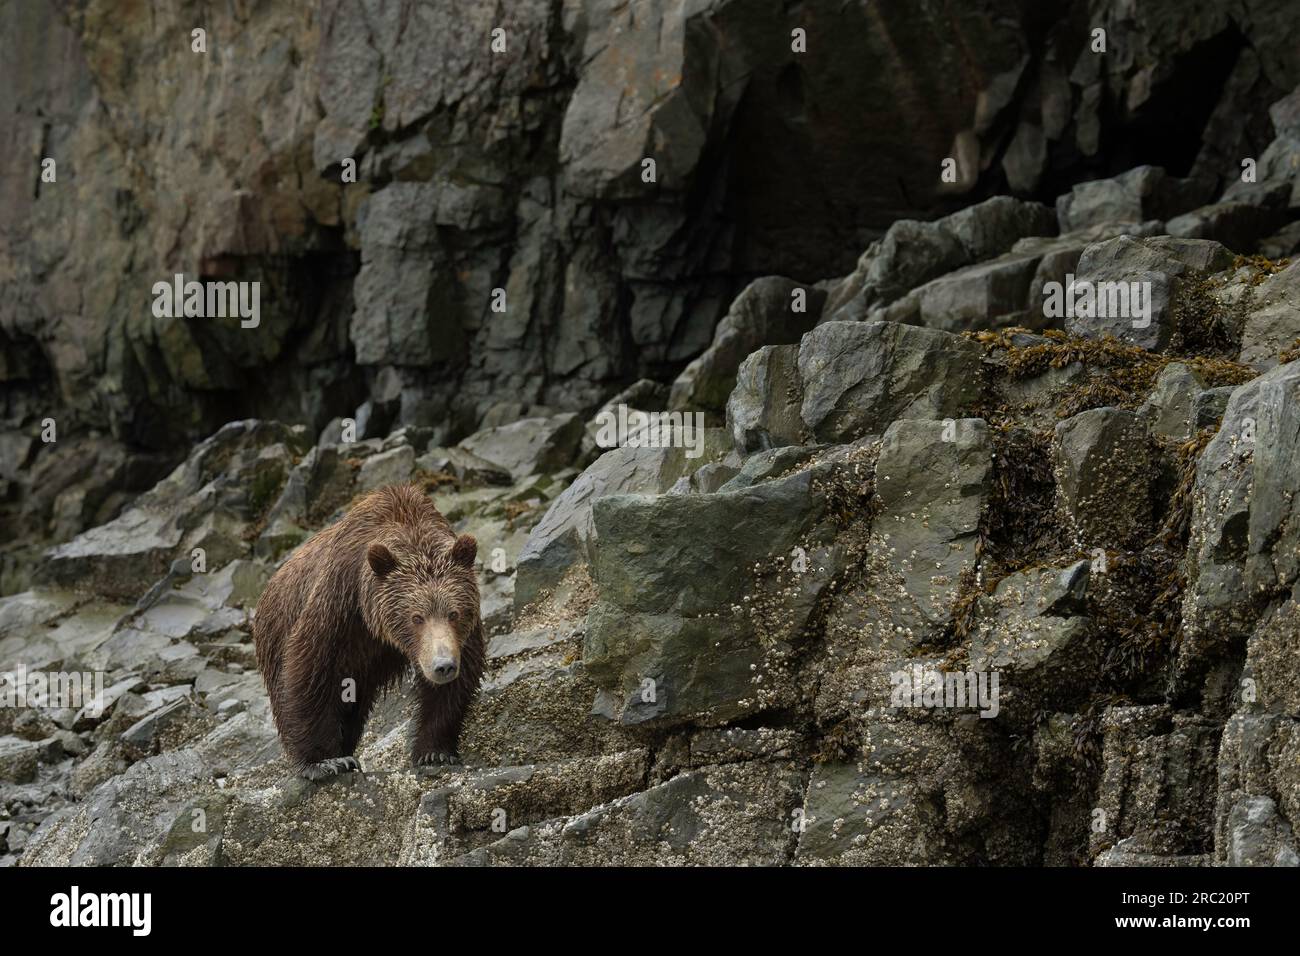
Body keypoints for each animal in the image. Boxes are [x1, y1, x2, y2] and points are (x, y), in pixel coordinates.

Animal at [253, 483, 484, 780]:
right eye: (416, 617)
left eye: (454, 613)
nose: (443, 665)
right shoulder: (339, 607)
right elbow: (310, 671)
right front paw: (324, 762)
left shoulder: (461, 635)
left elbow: (457, 682)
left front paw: (435, 752)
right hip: (276, 635)